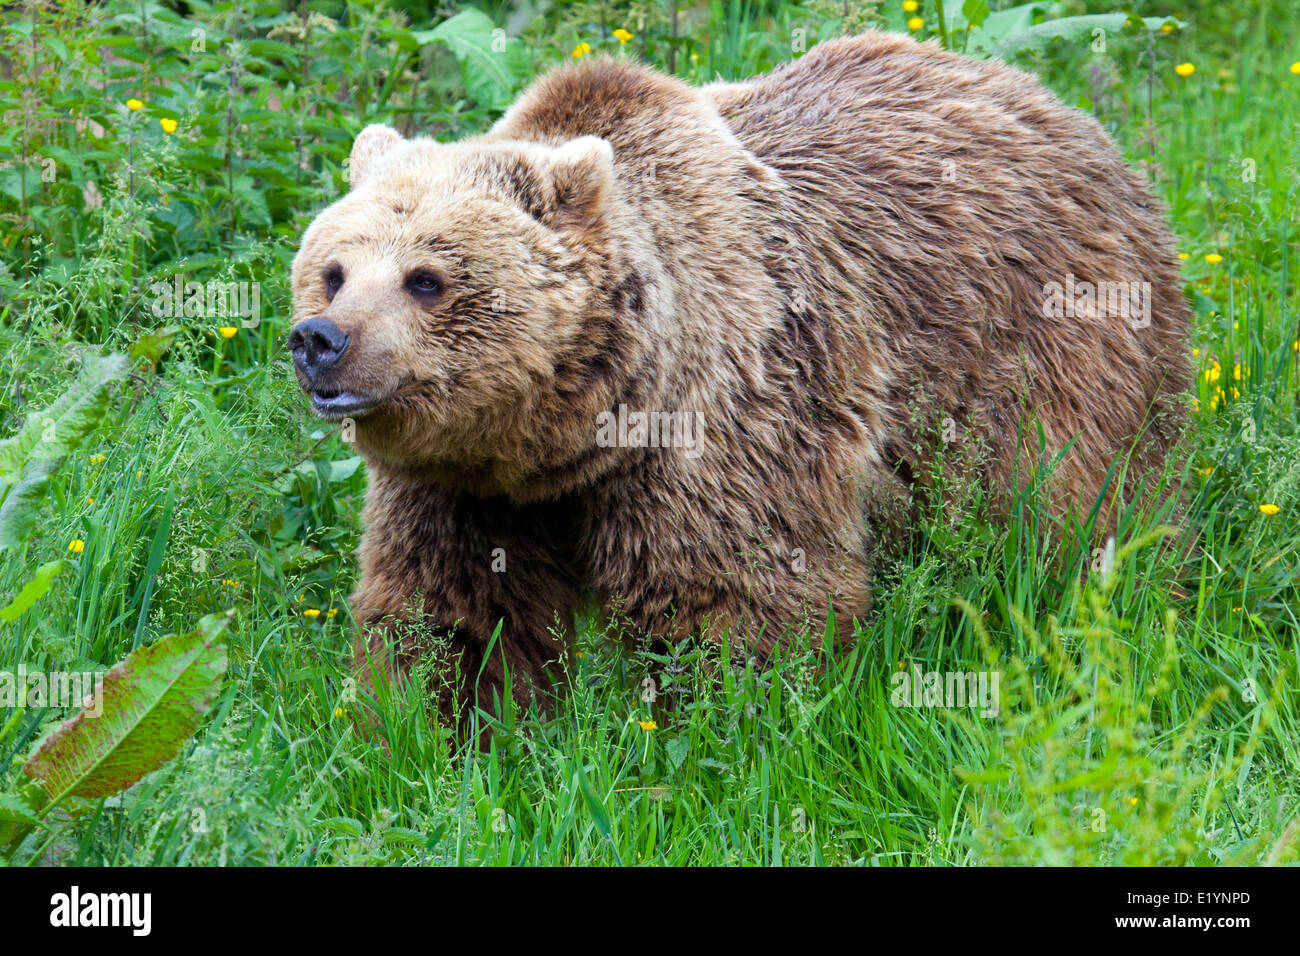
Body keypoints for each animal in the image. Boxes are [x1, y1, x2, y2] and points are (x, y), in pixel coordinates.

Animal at [288, 32, 1192, 731]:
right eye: (333, 272)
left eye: (426, 278)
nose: (319, 341)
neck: (569, 434)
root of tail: (1049, 101)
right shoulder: (462, 485)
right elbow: (451, 612)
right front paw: (436, 736)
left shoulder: (723, 418)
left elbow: (735, 596)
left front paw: (723, 735)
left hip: (1050, 339)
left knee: (1071, 501)